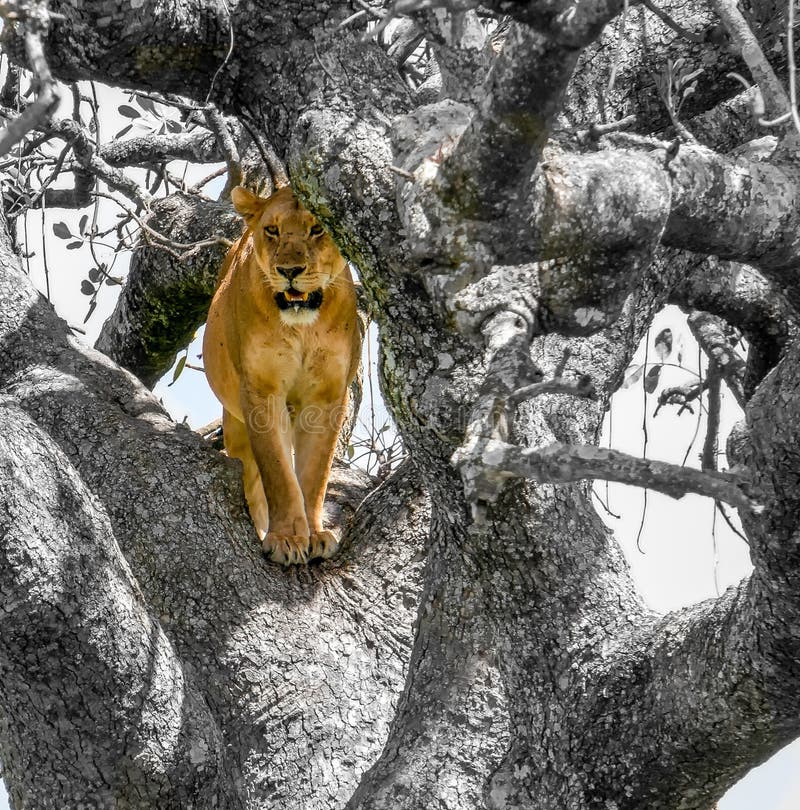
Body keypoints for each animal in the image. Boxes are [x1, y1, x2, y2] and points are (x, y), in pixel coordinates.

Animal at [203, 185, 361, 564]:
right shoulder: (263, 390)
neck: (302, 326)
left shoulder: (327, 396)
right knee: (252, 483)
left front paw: (315, 535)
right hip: (237, 429)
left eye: (317, 229)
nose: (289, 270)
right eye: (272, 230)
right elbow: (278, 472)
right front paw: (287, 538)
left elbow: (314, 474)